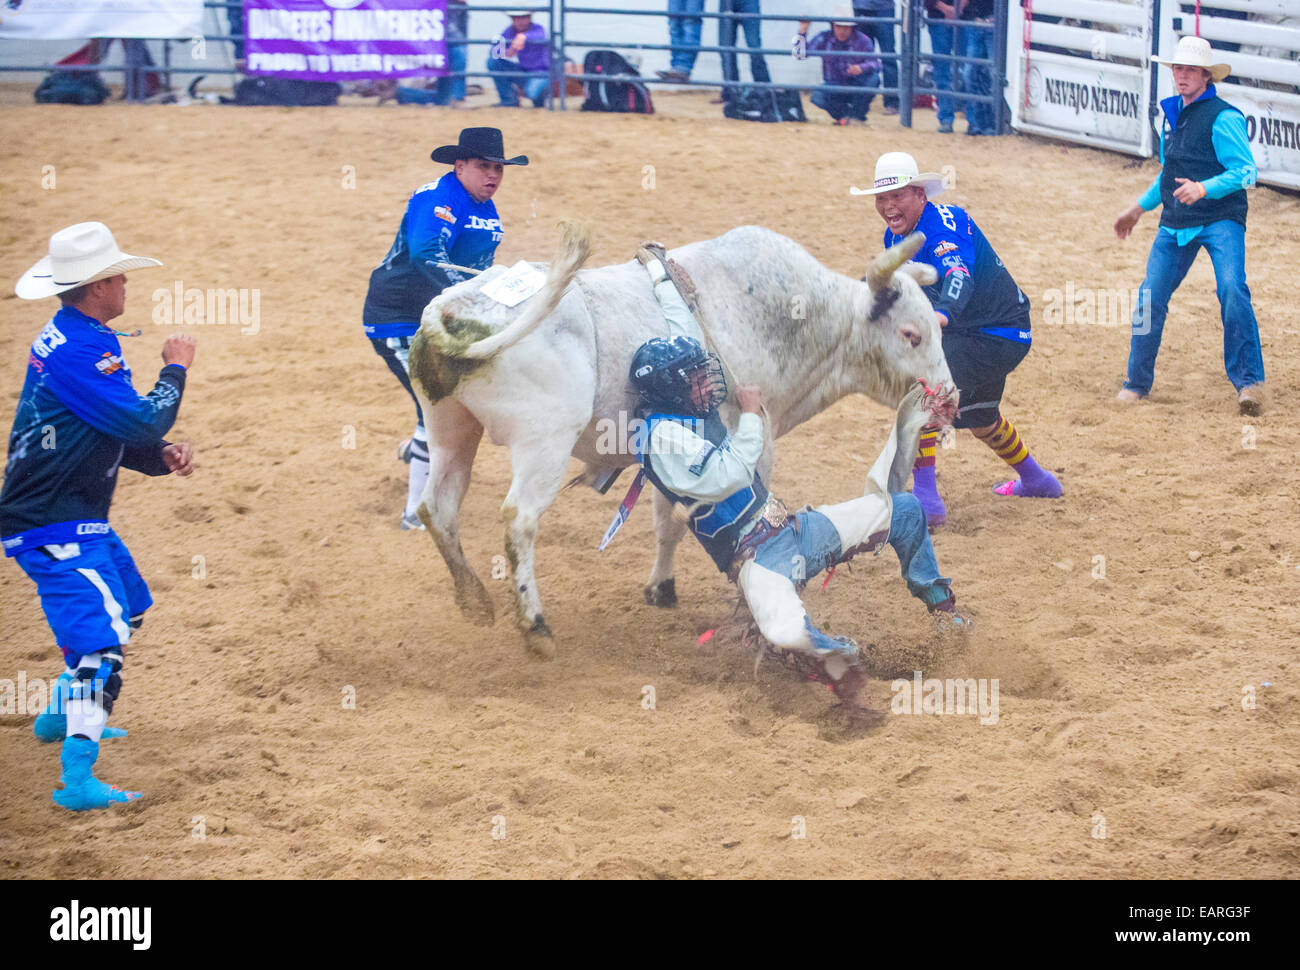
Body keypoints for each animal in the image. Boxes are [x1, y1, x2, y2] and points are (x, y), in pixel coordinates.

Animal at [408, 223, 955, 658]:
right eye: (910, 334)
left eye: (939, 328)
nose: (950, 398)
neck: (797, 320)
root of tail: (453, 310)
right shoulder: (752, 443)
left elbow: (668, 521)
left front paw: (661, 588)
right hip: (543, 442)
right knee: (519, 520)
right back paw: (534, 626)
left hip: (451, 428)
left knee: (438, 507)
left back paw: (474, 601)